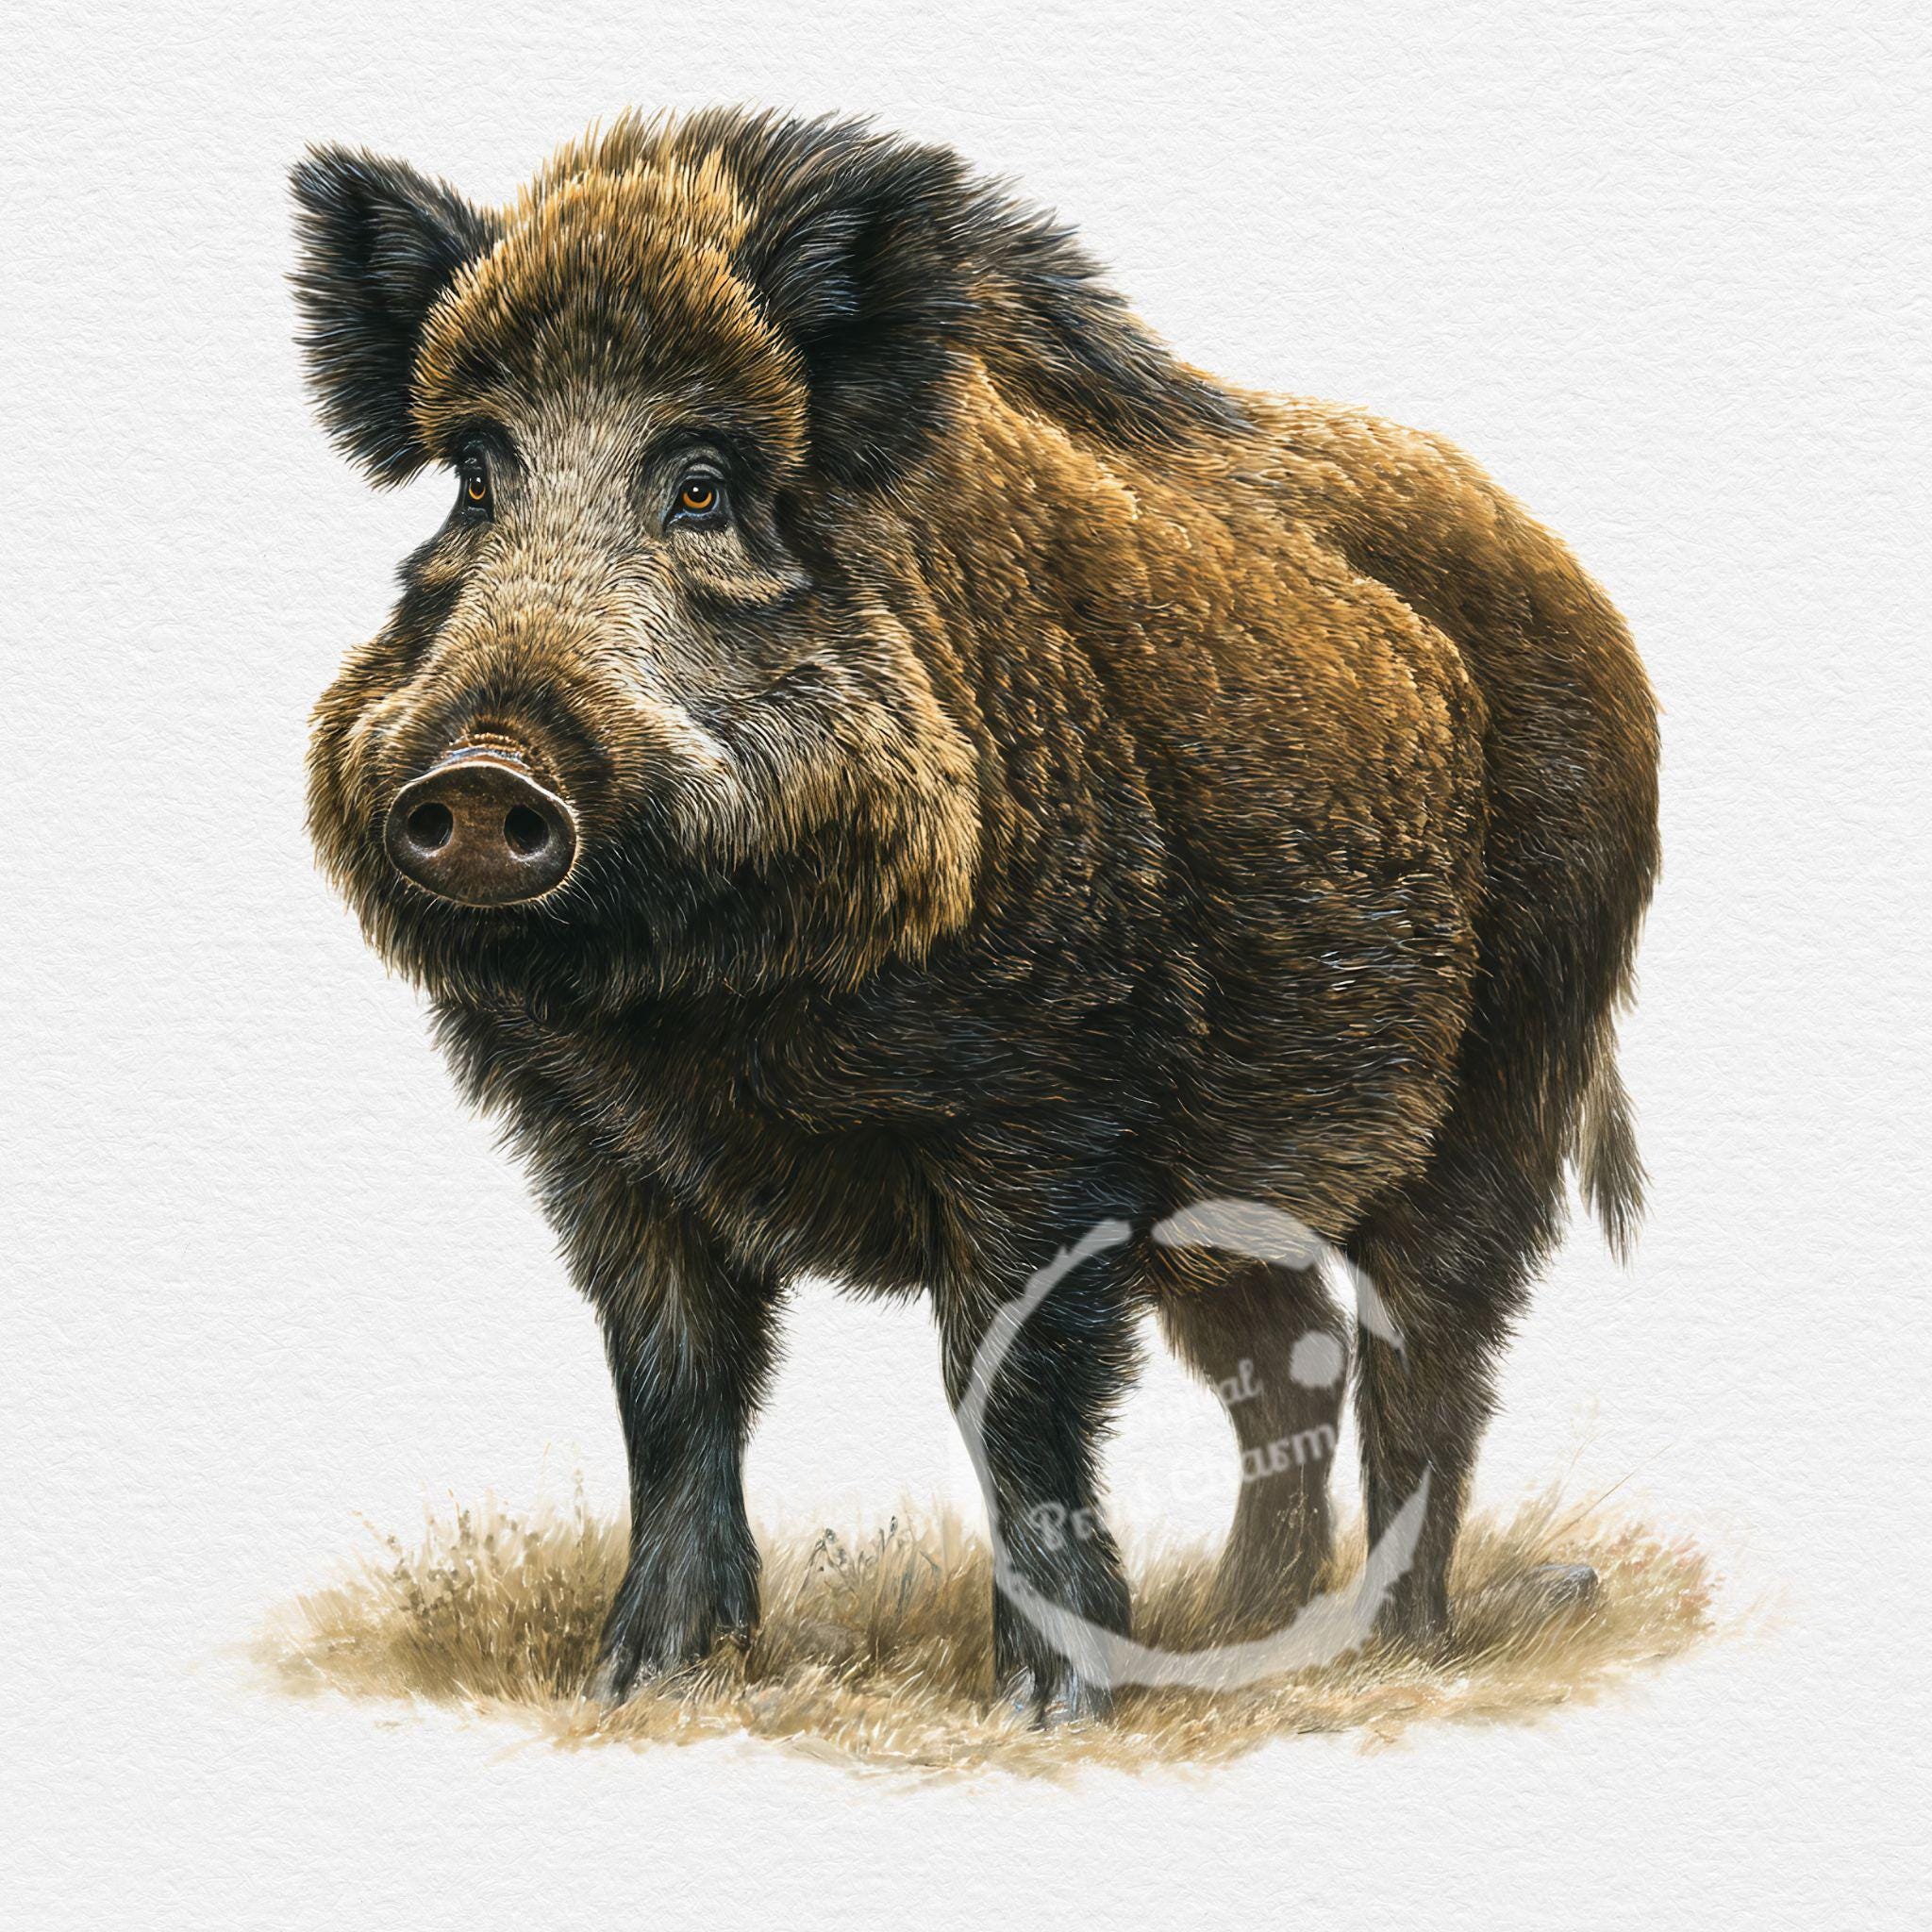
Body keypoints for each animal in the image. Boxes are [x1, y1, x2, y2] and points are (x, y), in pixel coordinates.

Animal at [293, 108, 1659, 1723]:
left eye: (702, 482)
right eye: (474, 479)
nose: (481, 780)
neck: (710, 1006)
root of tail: (1580, 600)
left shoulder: (1055, 1119)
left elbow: (1010, 1396)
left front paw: (1051, 1709)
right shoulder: (594, 1142)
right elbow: (672, 1390)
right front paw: (636, 1684)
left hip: (1512, 1068)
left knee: (1428, 1360)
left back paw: (1386, 1654)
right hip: (1241, 1189)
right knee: (1292, 1362)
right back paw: (1238, 1635)